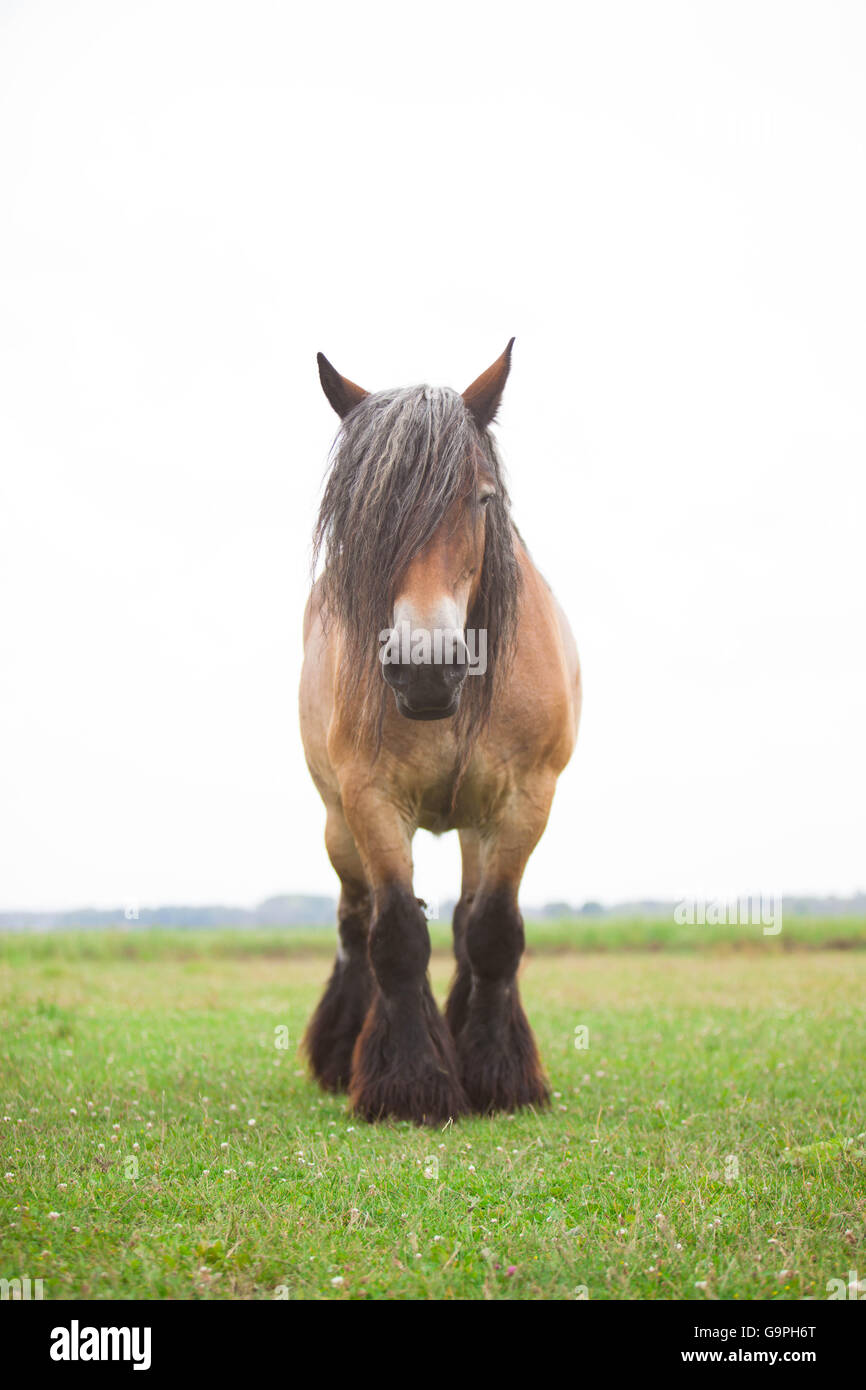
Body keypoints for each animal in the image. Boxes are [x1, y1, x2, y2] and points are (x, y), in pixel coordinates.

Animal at [299, 341, 581, 1124]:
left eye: (480, 499)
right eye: (362, 516)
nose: (426, 669)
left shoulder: (524, 801)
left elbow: (491, 933)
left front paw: (498, 1075)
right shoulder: (370, 801)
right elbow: (395, 936)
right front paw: (410, 1083)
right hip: (338, 823)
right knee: (354, 921)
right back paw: (342, 1051)